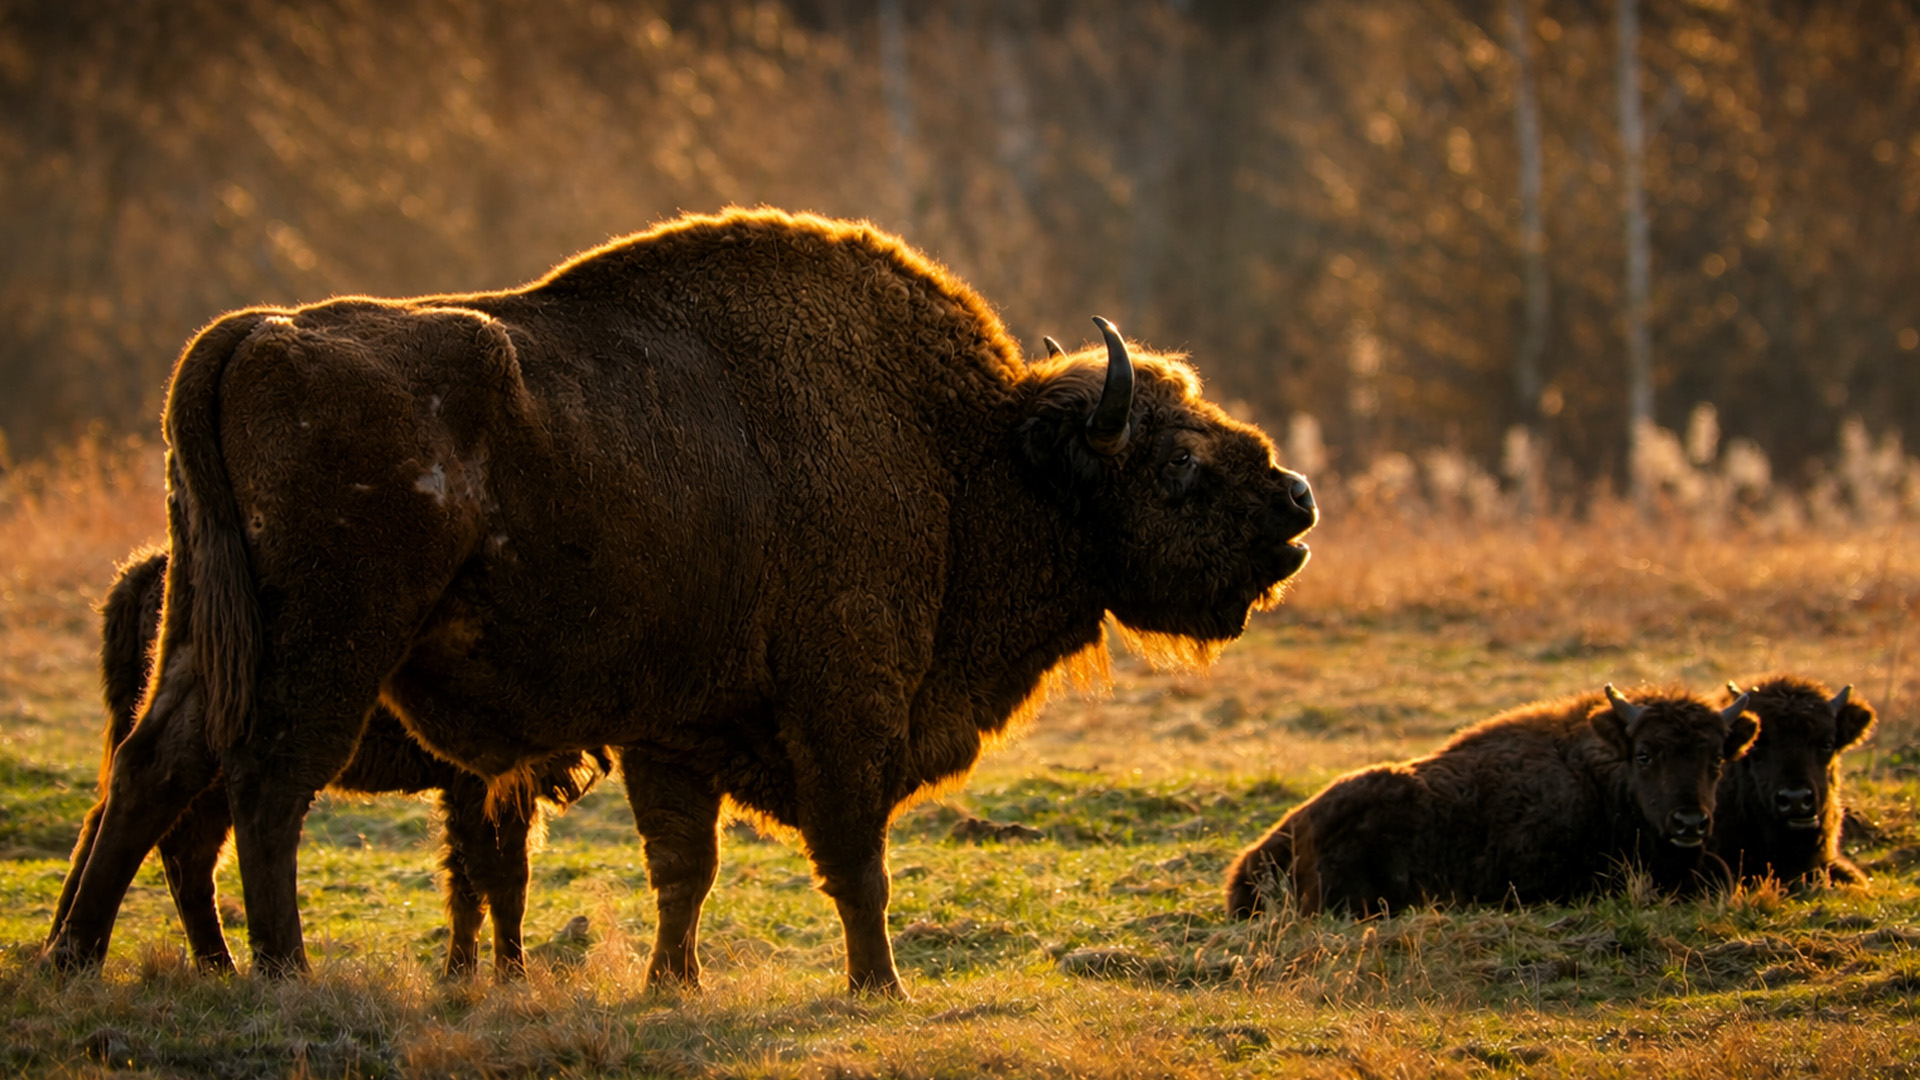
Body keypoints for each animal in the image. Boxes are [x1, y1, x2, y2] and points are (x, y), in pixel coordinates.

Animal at [48, 549, 606, 978]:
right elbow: (498, 878)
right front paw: (502, 977)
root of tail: (139, 575)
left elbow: (475, 883)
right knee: (179, 846)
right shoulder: (484, 786)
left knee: (126, 830)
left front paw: (465, 976)